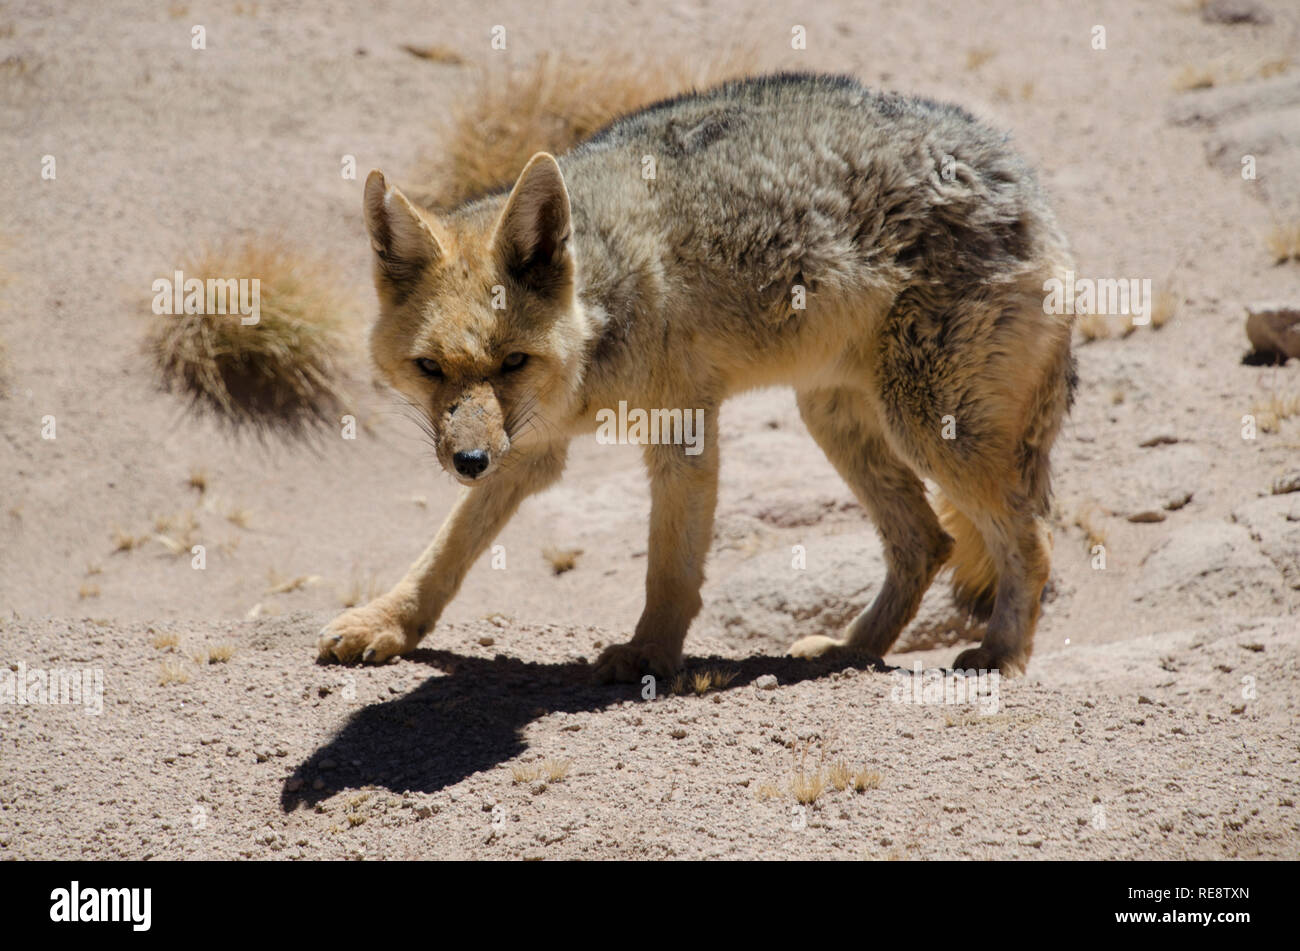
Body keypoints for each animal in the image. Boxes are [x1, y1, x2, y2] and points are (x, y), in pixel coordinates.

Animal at [317, 72, 1077, 682]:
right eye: (430, 368)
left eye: (512, 362)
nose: (469, 461)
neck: (601, 315)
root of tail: (1024, 177)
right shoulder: (530, 447)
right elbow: (446, 550)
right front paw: (387, 621)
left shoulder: (679, 427)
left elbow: (670, 567)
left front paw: (648, 653)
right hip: (835, 417)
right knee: (928, 542)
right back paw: (848, 651)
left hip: (926, 428)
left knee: (1030, 540)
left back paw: (1000, 652)